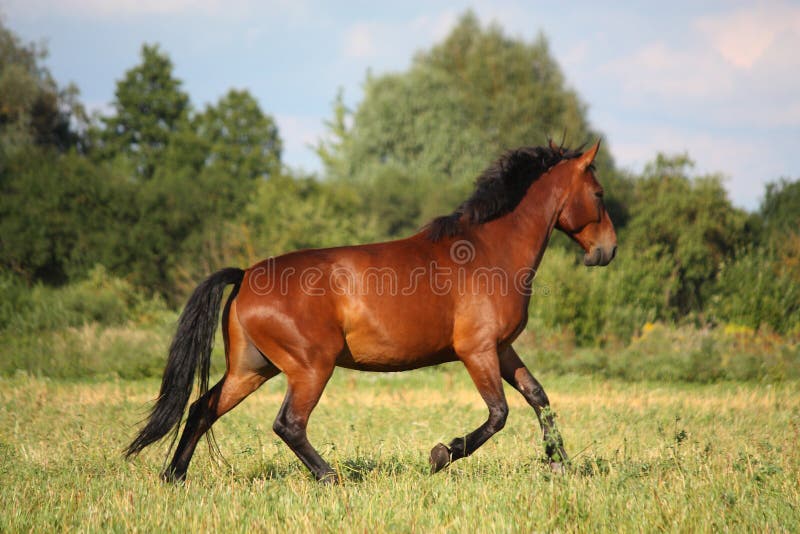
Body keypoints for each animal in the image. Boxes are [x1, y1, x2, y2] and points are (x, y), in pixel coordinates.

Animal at [126, 140, 617, 483]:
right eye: (598, 192)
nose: (607, 250)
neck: (488, 250)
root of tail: (246, 275)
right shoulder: (476, 351)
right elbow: (499, 414)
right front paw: (442, 454)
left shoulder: (502, 348)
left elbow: (538, 396)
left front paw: (561, 464)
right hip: (310, 367)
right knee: (288, 424)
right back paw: (330, 477)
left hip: (252, 368)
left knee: (201, 408)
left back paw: (174, 477)